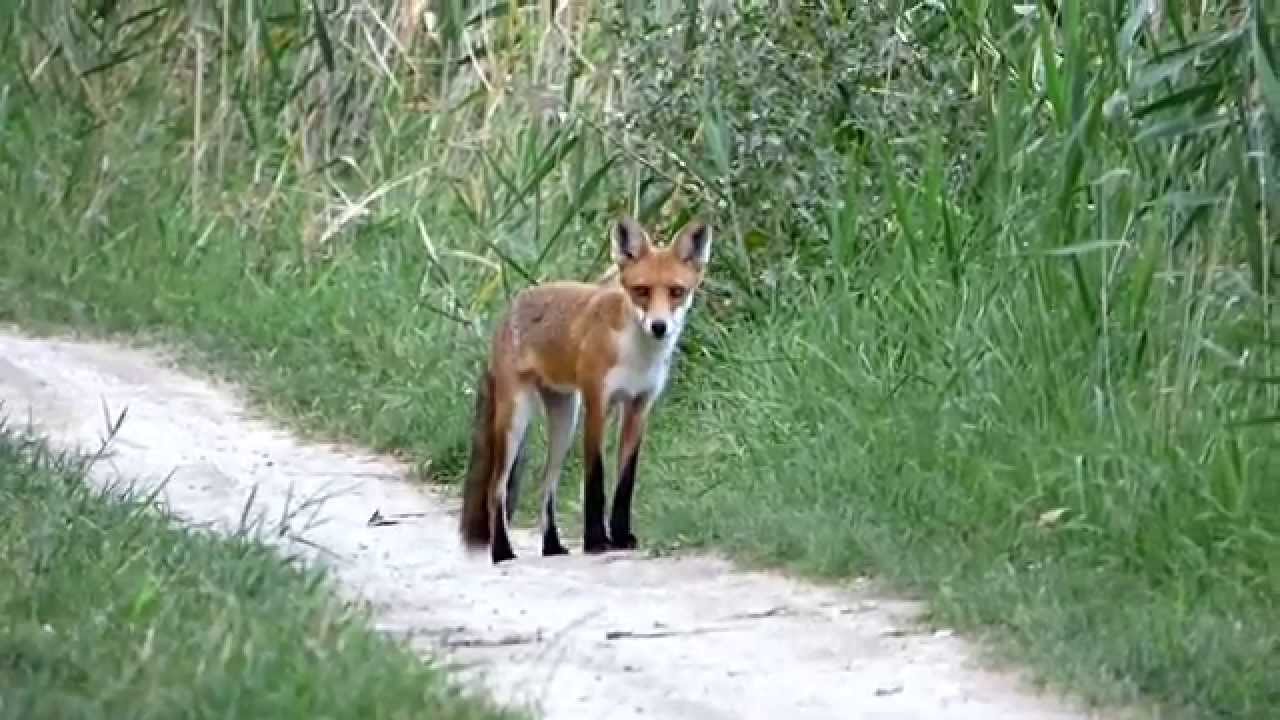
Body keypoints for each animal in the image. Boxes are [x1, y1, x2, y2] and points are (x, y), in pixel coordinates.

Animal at [457, 214, 713, 564]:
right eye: (641, 291)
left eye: (676, 291)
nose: (659, 327)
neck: (636, 356)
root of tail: (510, 308)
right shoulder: (597, 403)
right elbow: (595, 480)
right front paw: (595, 541)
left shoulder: (639, 407)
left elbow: (624, 482)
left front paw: (620, 535)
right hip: (517, 418)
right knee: (495, 488)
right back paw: (502, 552)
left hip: (565, 418)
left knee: (546, 485)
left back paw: (551, 546)